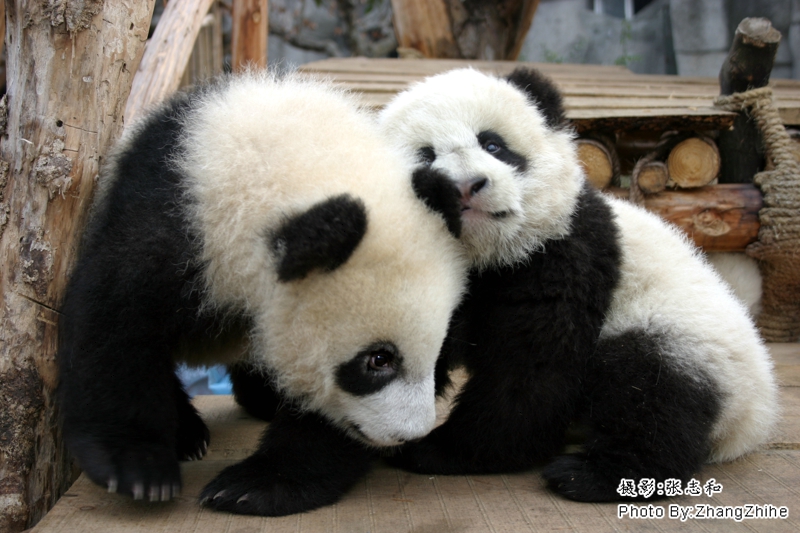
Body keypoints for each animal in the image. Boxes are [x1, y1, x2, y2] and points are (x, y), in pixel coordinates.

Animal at [57, 72, 467, 515]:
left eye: (439, 352)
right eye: (378, 360)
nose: (409, 433)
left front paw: (257, 484)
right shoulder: (177, 212)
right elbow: (115, 314)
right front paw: (139, 468)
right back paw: (188, 433)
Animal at [377, 67, 779, 502]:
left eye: (493, 144)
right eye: (426, 157)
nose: (466, 186)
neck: (486, 255)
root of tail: (753, 419)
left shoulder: (565, 253)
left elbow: (532, 366)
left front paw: (445, 451)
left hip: (689, 337)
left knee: (654, 393)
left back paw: (592, 474)